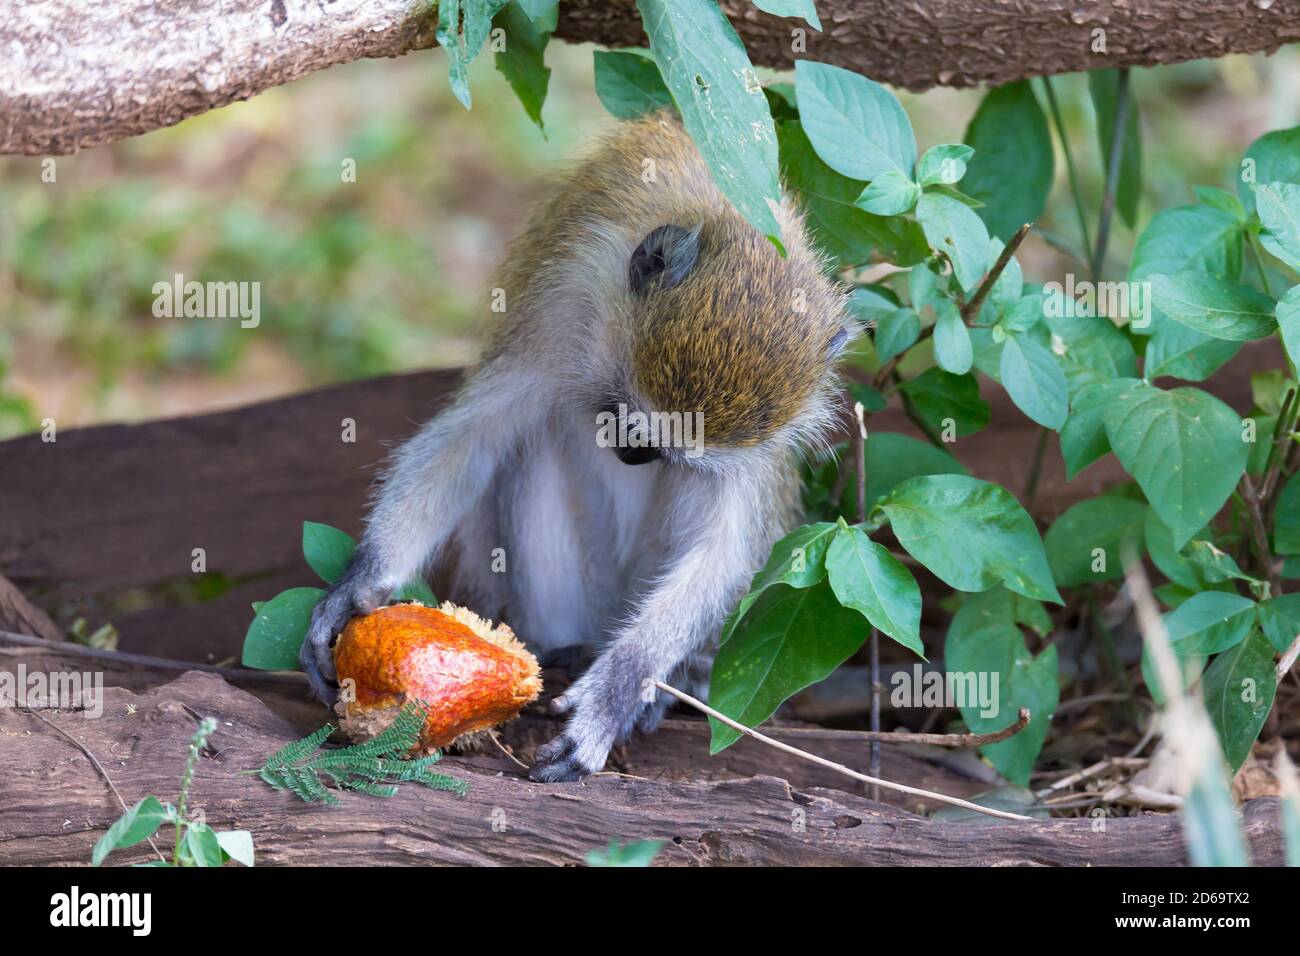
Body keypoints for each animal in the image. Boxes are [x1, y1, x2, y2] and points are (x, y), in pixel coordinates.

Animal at [300, 113, 854, 782]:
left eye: (654, 444)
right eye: (625, 420)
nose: (632, 454)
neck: (728, 219)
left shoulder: (761, 435)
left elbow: (725, 548)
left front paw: (616, 691)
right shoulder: (564, 305)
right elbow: (473, 437)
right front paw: (361, 581)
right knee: (534, 445)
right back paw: (561, 647)